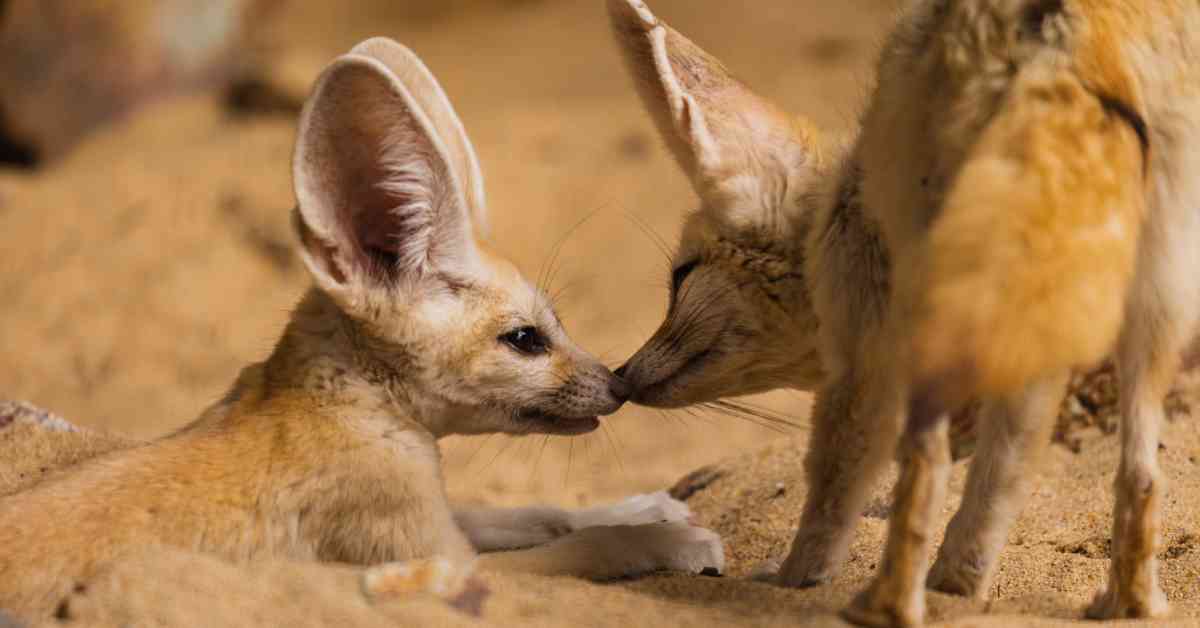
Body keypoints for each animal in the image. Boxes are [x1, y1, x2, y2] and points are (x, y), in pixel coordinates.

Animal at [0, 37, 724, 622]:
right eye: (525, 340)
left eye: (557, 324)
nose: (618, 385)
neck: (344, 402)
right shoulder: (431, 555)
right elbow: (575, 547)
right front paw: (661, 540)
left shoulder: (438, 517)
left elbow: (539, 512)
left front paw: (643, 507)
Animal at [608, 0, 1198, 626]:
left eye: (681, 275)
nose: (619, 376)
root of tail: (1071, 28)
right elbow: (1004, 474)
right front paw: (956, 587)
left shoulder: (865, 334)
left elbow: (835, 479)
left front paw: (794, 580)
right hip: (1152, 291)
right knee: (1140, 475)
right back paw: (1130, 603)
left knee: (925, 460)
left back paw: (883, 605)